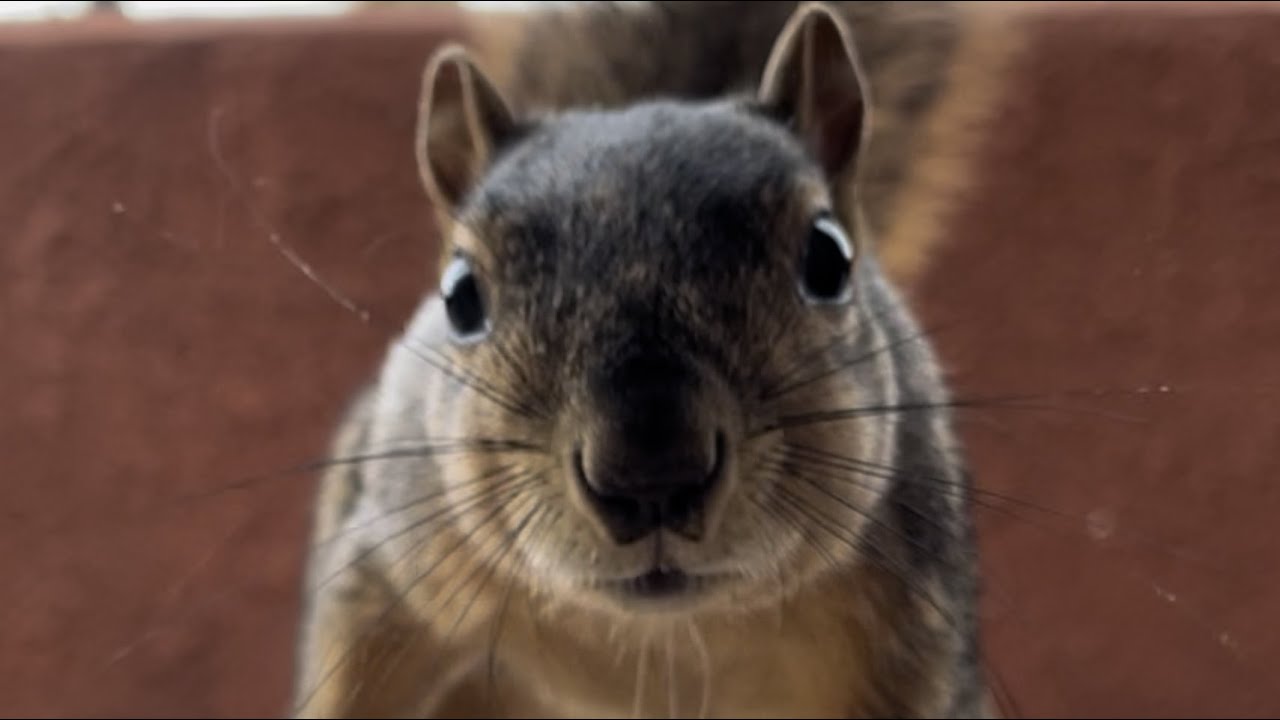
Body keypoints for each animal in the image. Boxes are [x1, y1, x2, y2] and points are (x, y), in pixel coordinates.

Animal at [291, 1, 1021, 717]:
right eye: (460, 296)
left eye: (829, 260)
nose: (651, 473)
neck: (660, 640)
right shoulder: (386, 562)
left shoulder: (914, 628)